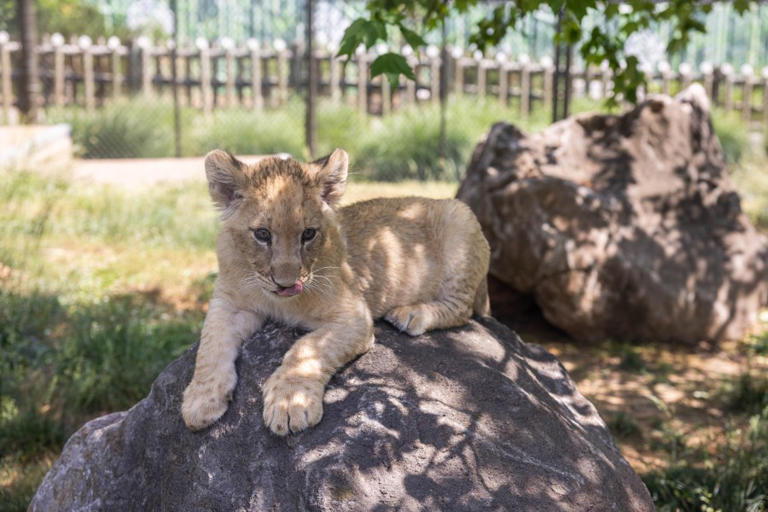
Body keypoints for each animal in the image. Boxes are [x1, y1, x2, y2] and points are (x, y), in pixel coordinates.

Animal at [181, 149, 490, 435]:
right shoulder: (228, 302)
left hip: (460, 220)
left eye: (308, 234)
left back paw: (412, 314)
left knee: (462, 310)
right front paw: (200, 400)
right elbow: (210, 344)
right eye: (262, 234)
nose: (286, 283)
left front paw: (290, 402)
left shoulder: (354, 315)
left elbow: (307, 348)